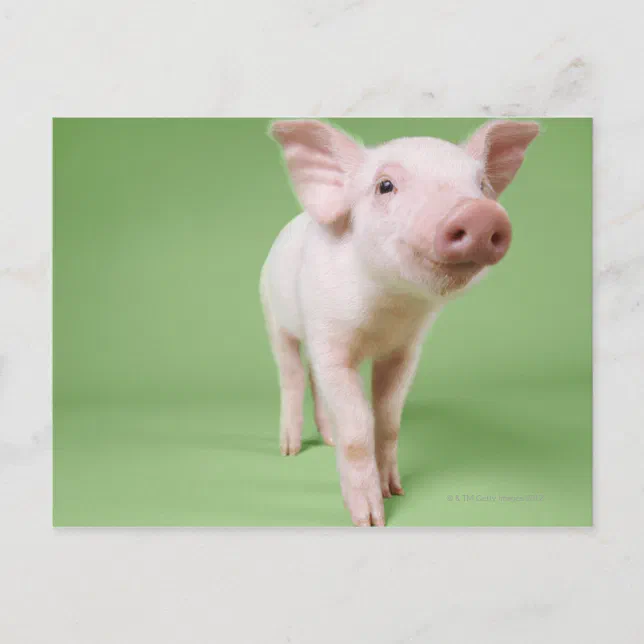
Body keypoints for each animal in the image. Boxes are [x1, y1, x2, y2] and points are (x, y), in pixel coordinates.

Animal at [260, 119, 539, 526]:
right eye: (385, 185)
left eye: (482, 185)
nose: (479, 213)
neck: (388, 309)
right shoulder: (329, 338)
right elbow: (358, 426)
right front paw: (369, 519)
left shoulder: (406, 349)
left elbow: (389, 419)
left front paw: (395, 491)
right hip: (273, 316)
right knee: (292, 376)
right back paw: (290, 450)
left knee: (314, 382)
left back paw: (328, 440)